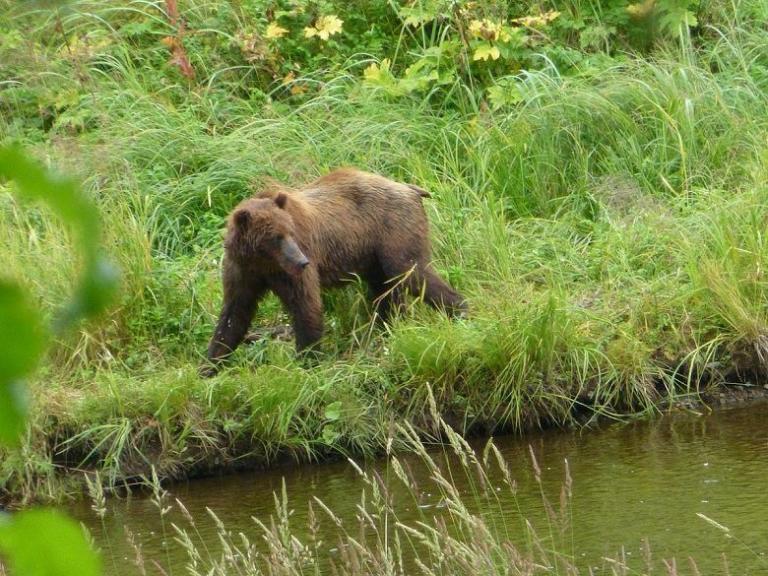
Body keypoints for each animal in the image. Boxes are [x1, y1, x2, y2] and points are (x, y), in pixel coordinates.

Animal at [201, 168, 466, 376]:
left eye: (290, 232)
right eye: (276, 237)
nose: (303, 261)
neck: (264, 264)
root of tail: (409, 187)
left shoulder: (294, 265)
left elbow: (306, 305)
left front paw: (307, 359)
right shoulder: (243, 271)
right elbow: (234, 314)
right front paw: (209, 365)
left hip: (394, 233)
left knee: (413, 274)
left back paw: (460, 311)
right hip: (372, 254)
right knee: (386, 292)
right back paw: (385, 329)